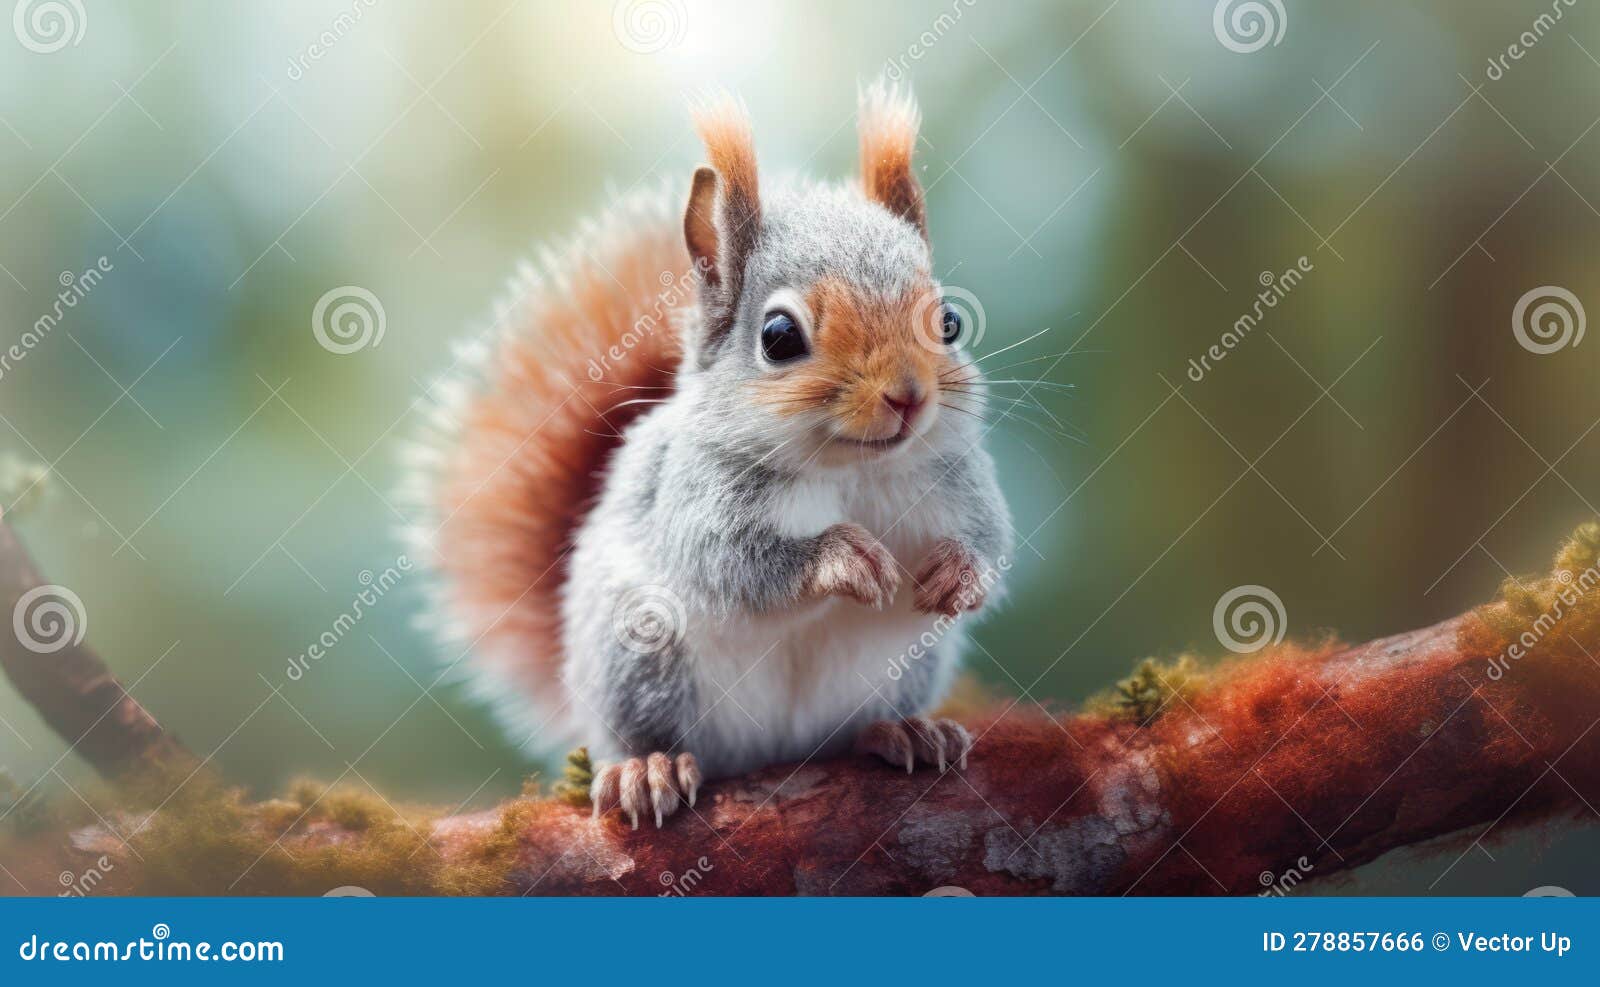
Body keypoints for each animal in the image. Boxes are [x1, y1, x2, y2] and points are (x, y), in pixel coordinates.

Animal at [406, 81, 1012, 829]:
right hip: (641, 652)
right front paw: (841, 557)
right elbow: (732, 563)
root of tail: (775, 751)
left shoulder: (961, 481)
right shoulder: (695, 495)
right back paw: (647, 767)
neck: (851, 470)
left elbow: (993, 540)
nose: (908, 396)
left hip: (898, 669)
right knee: (649, 728)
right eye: (779, 336)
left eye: (949, 321)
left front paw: (960, 572)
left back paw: (901, 731)